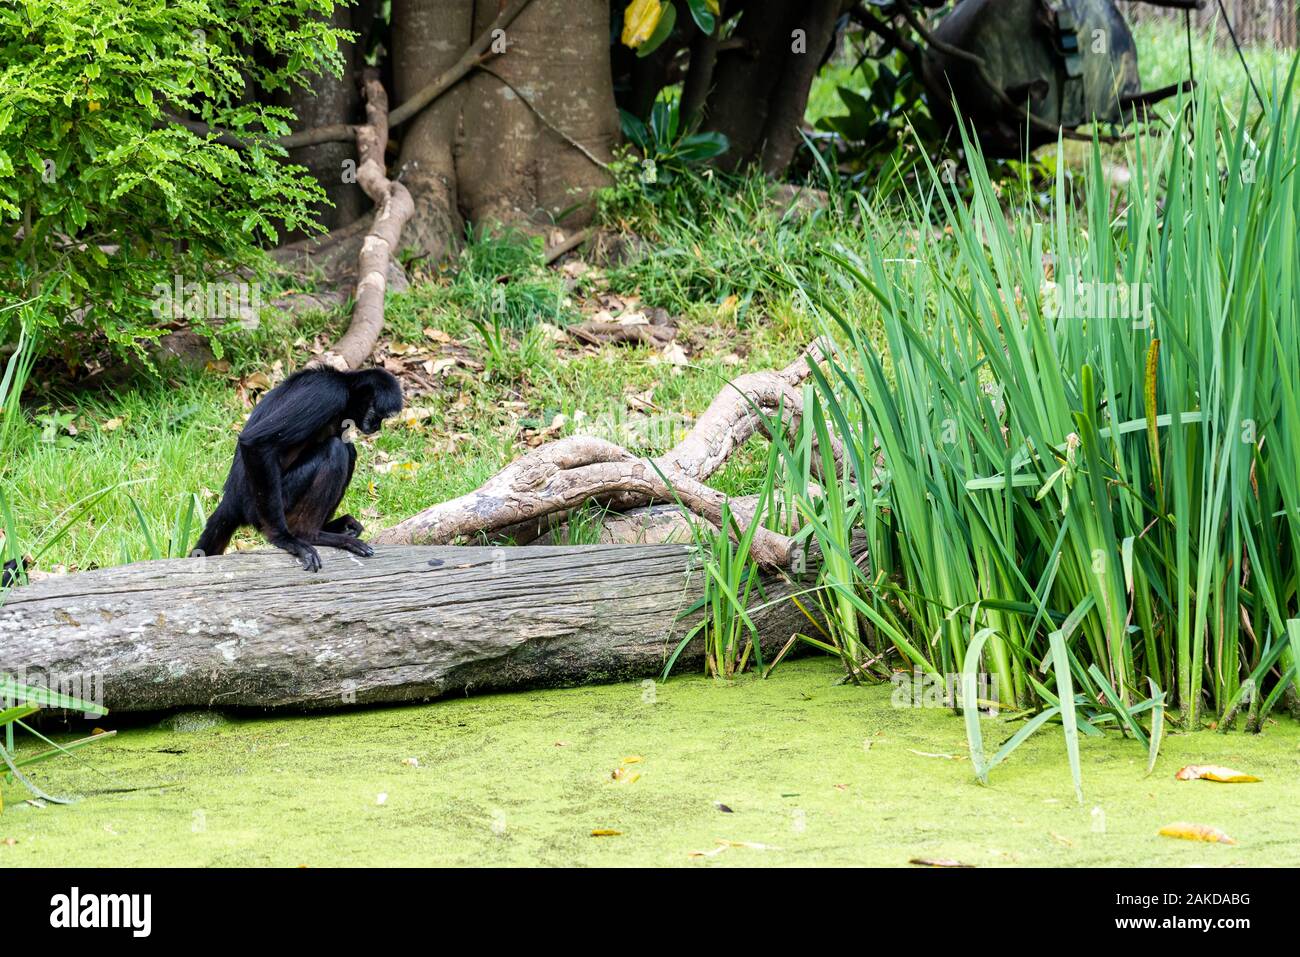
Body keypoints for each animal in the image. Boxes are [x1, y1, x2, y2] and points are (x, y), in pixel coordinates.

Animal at [193, 367, 403, 571]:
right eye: (377, 415)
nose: (377, 426)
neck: (345, 384)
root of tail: (233, 498)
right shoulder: (328, 394)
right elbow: (256, 444)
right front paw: (284, 539)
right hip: (270, 502)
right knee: (335, 449)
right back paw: (308, 535)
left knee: (348, 449)